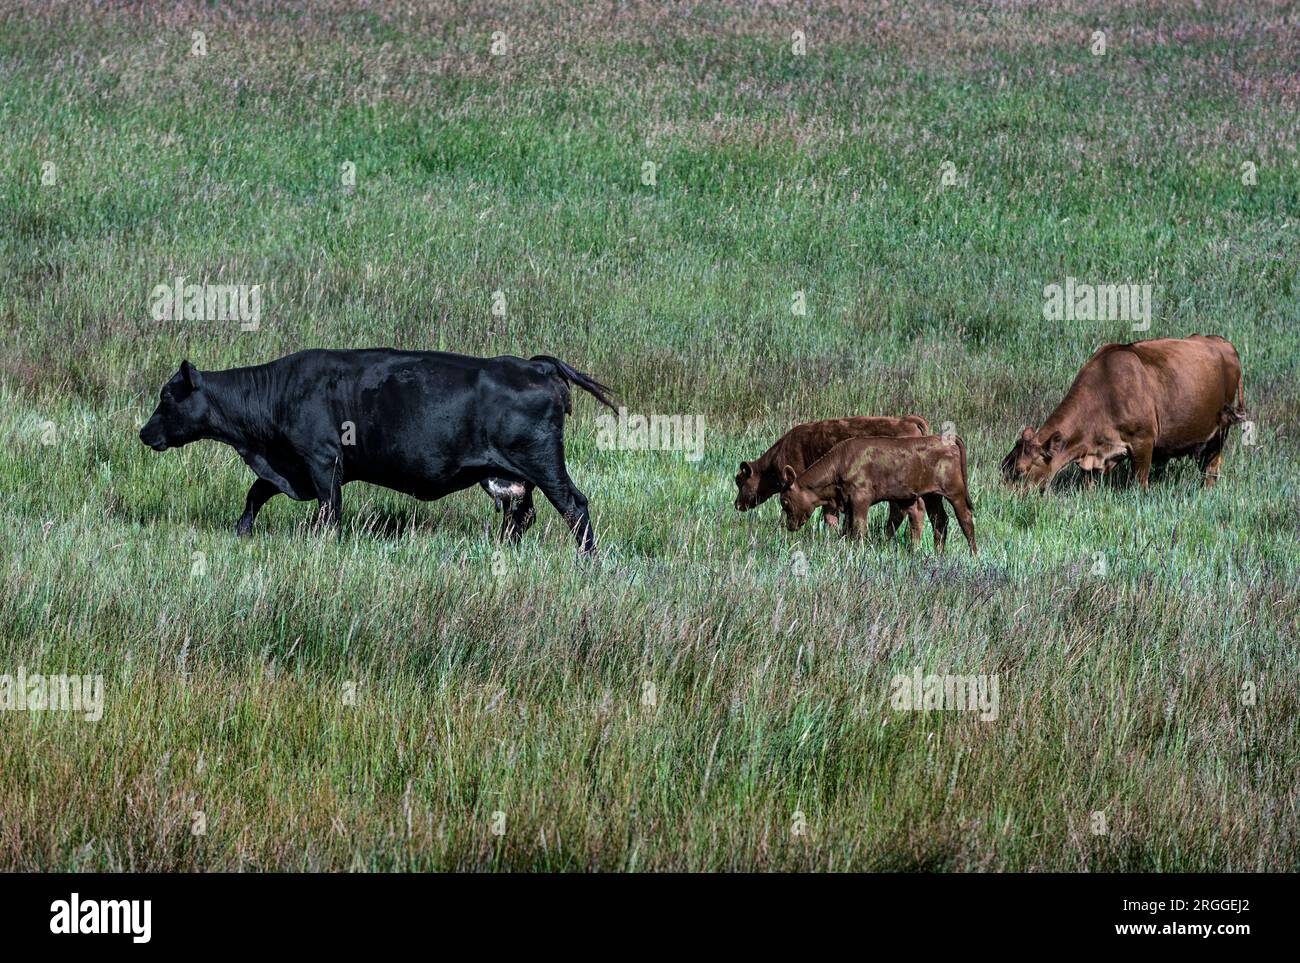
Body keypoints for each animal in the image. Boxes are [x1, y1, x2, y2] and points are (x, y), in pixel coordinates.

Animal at [138, 350, 614, 554]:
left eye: (166, 397)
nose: (144, 434)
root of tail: (534, 365)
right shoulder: (289, 466)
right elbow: (256, 492)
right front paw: (242, 532)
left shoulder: (321, 462)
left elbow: (330, 511)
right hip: (513, 475)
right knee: (521, 515)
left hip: (543, 464)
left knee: (574, 506)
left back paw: (587, 558)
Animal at [777, 435, 977, 554]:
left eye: (785, 501)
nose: (789, 525)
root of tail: (946, 439)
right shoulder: (848, 502)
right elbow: (847, 529)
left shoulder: (860, 498)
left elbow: (858, 528)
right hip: (932, 495)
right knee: (939, 520)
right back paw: (937, 554)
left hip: (955, 492)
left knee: (965, 519)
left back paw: (973, 555)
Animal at [1000, 335, 1246, 491]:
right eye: (1004, 466)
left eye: (1021, 471)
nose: (1005, 499)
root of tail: (1222, 343)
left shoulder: (1143, 442)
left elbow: (1139, 484)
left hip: (1220, 431)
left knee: (1211, 467)